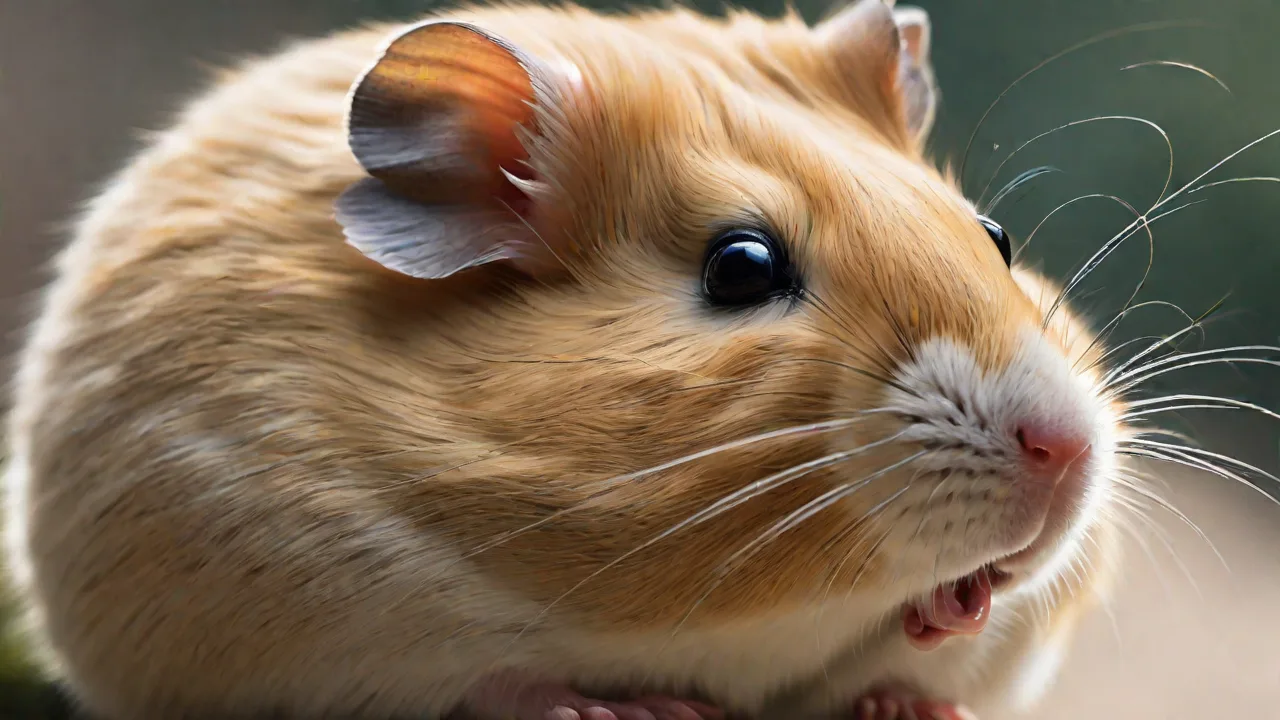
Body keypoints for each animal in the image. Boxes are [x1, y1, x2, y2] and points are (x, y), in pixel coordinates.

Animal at [3, 1, 1127, 718]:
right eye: (740, 267)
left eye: (995, 238)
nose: (1066, 453)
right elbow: (483, 681)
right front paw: (629, 711)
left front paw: (932, 653)